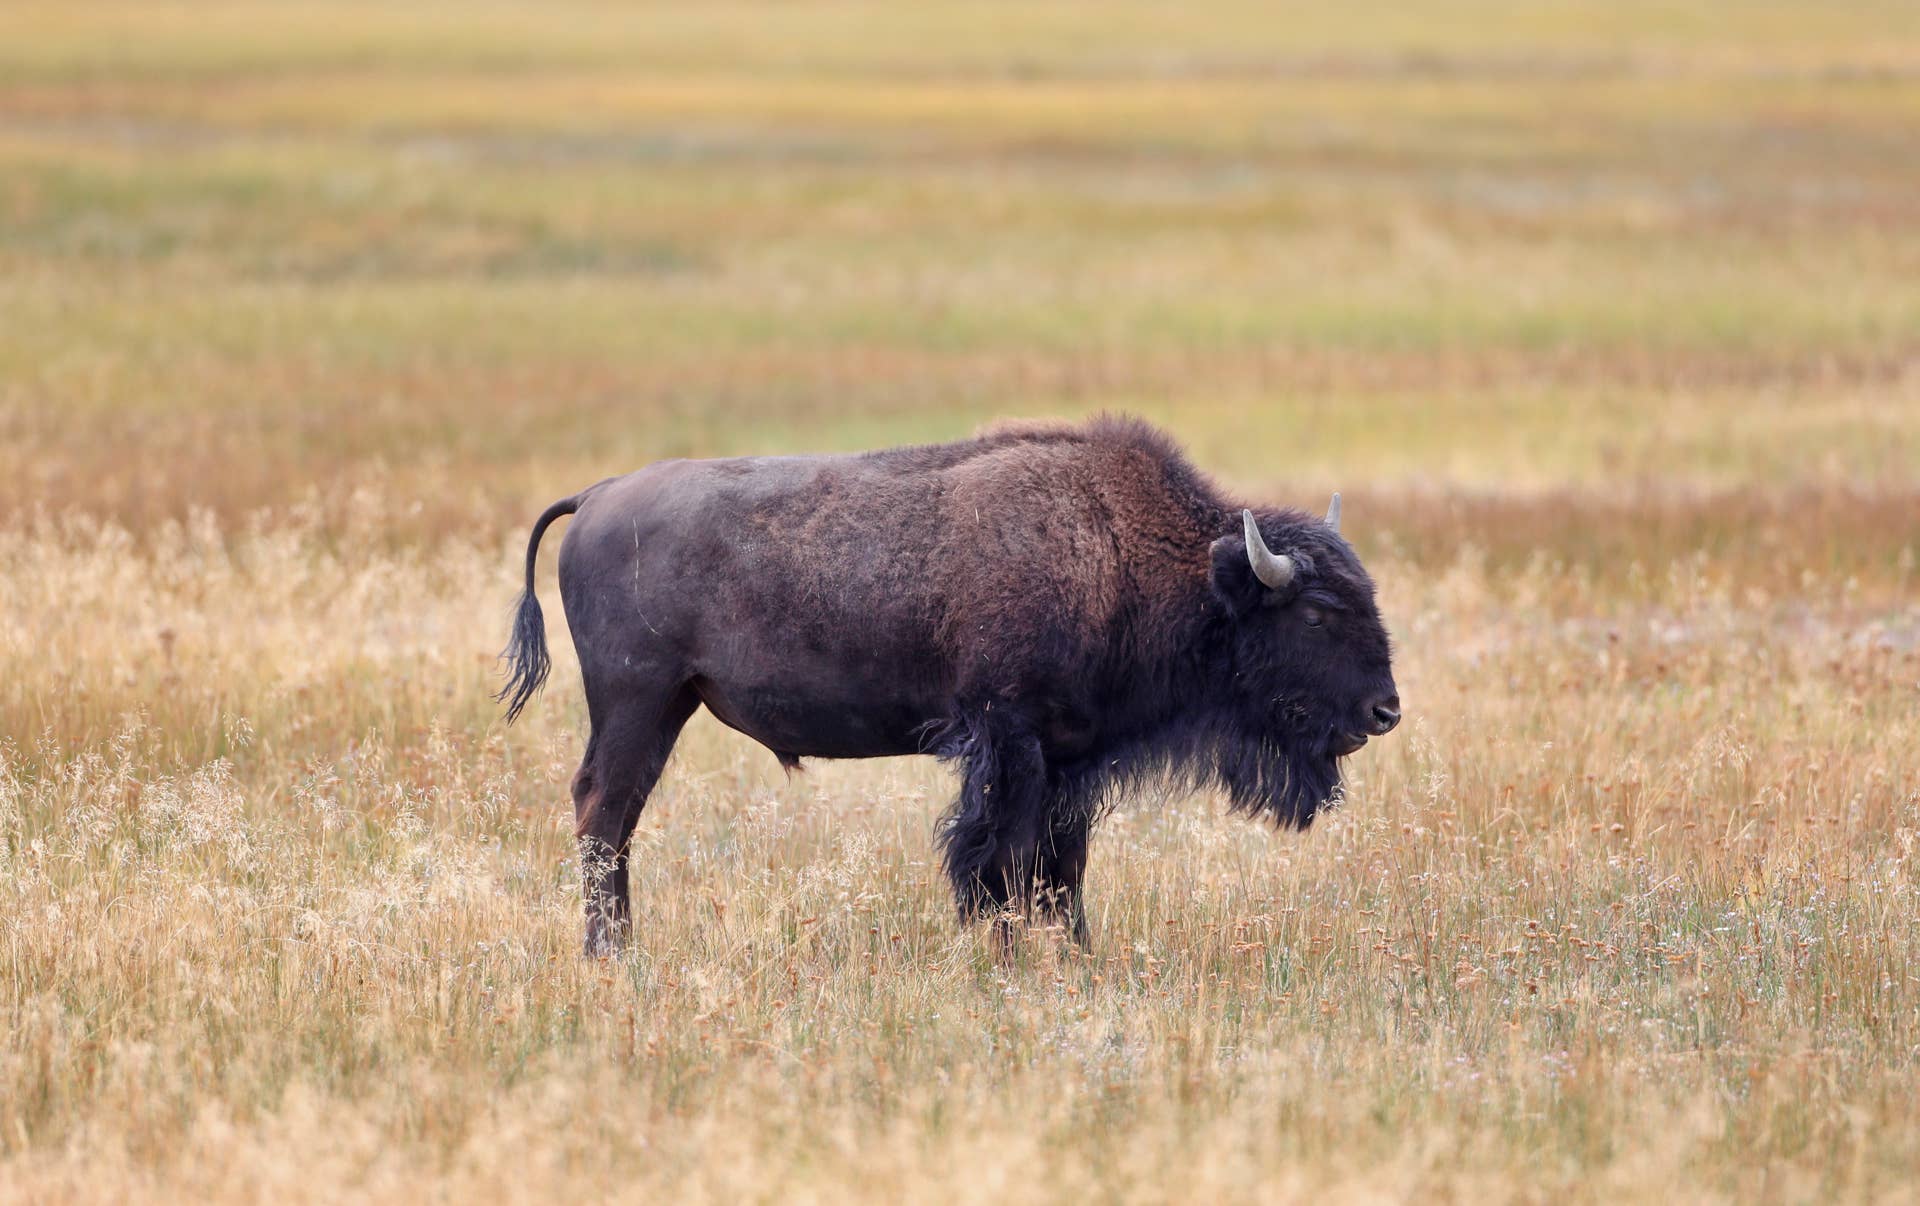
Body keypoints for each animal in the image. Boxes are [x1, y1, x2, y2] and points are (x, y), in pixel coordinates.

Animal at [499, 416, 1400, 954]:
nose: (1385, 709)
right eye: (1316, 613)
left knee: (612, 817)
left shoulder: (1069, 764)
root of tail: (598, 496)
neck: (1120, 550)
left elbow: (1059, 868)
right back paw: (611, 951)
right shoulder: (1007, 741)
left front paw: (1074, 953)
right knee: (604, 811)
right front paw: (1001, 953)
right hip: (638, 702)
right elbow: (996, 859)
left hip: (661, 705)